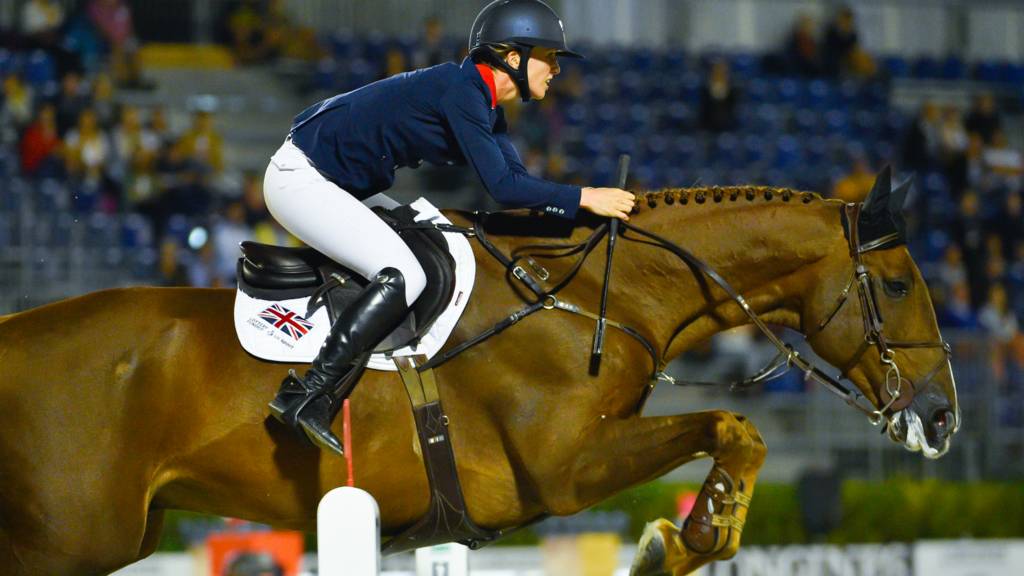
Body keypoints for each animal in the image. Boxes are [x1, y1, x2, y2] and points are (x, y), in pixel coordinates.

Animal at [0, 174, 959, 576]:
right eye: (899, 285)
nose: (943, 419)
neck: (602, 297)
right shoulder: (566, 468)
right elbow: (735, 429)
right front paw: (686, 538)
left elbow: (731, 433)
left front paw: (689, 537)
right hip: (72, 542)